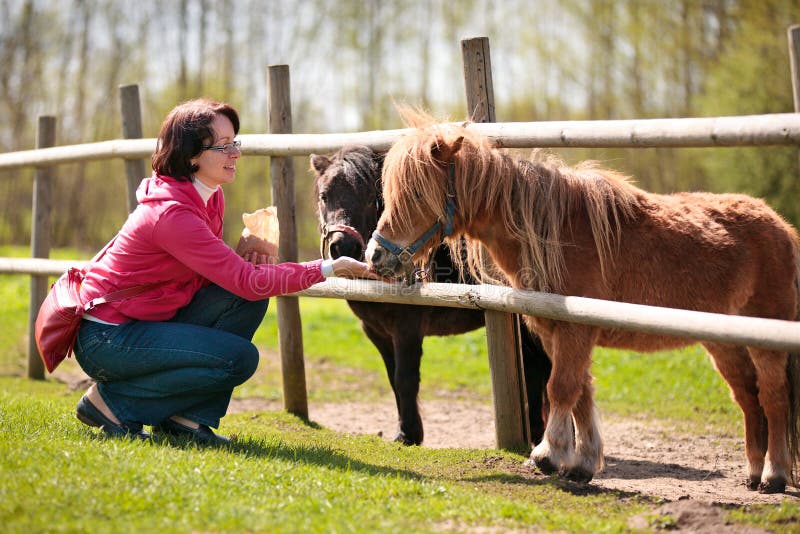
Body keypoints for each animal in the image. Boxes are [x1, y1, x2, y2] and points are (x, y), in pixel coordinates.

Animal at [310, 144, 552, 447]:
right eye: (324, 196)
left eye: (370, 198)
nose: (342, 246)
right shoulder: (376, 331)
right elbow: (393, 379)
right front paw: (405, 431)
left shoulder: (407, 327)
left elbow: (405, 379)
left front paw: (409, 435)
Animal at [365, 109, 800, 494]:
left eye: (417, 193)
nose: (375, 255)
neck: (556, 234)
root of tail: (781, 227)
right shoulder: (556, 332)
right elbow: (580, 394)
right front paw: (582, 463)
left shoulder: (575, 330)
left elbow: (561, 389)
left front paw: (547, 455)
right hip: (722, 344)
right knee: (748, 398)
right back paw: (753, 472)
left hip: (765, 343)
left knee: (774, 398)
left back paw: (774, 475)